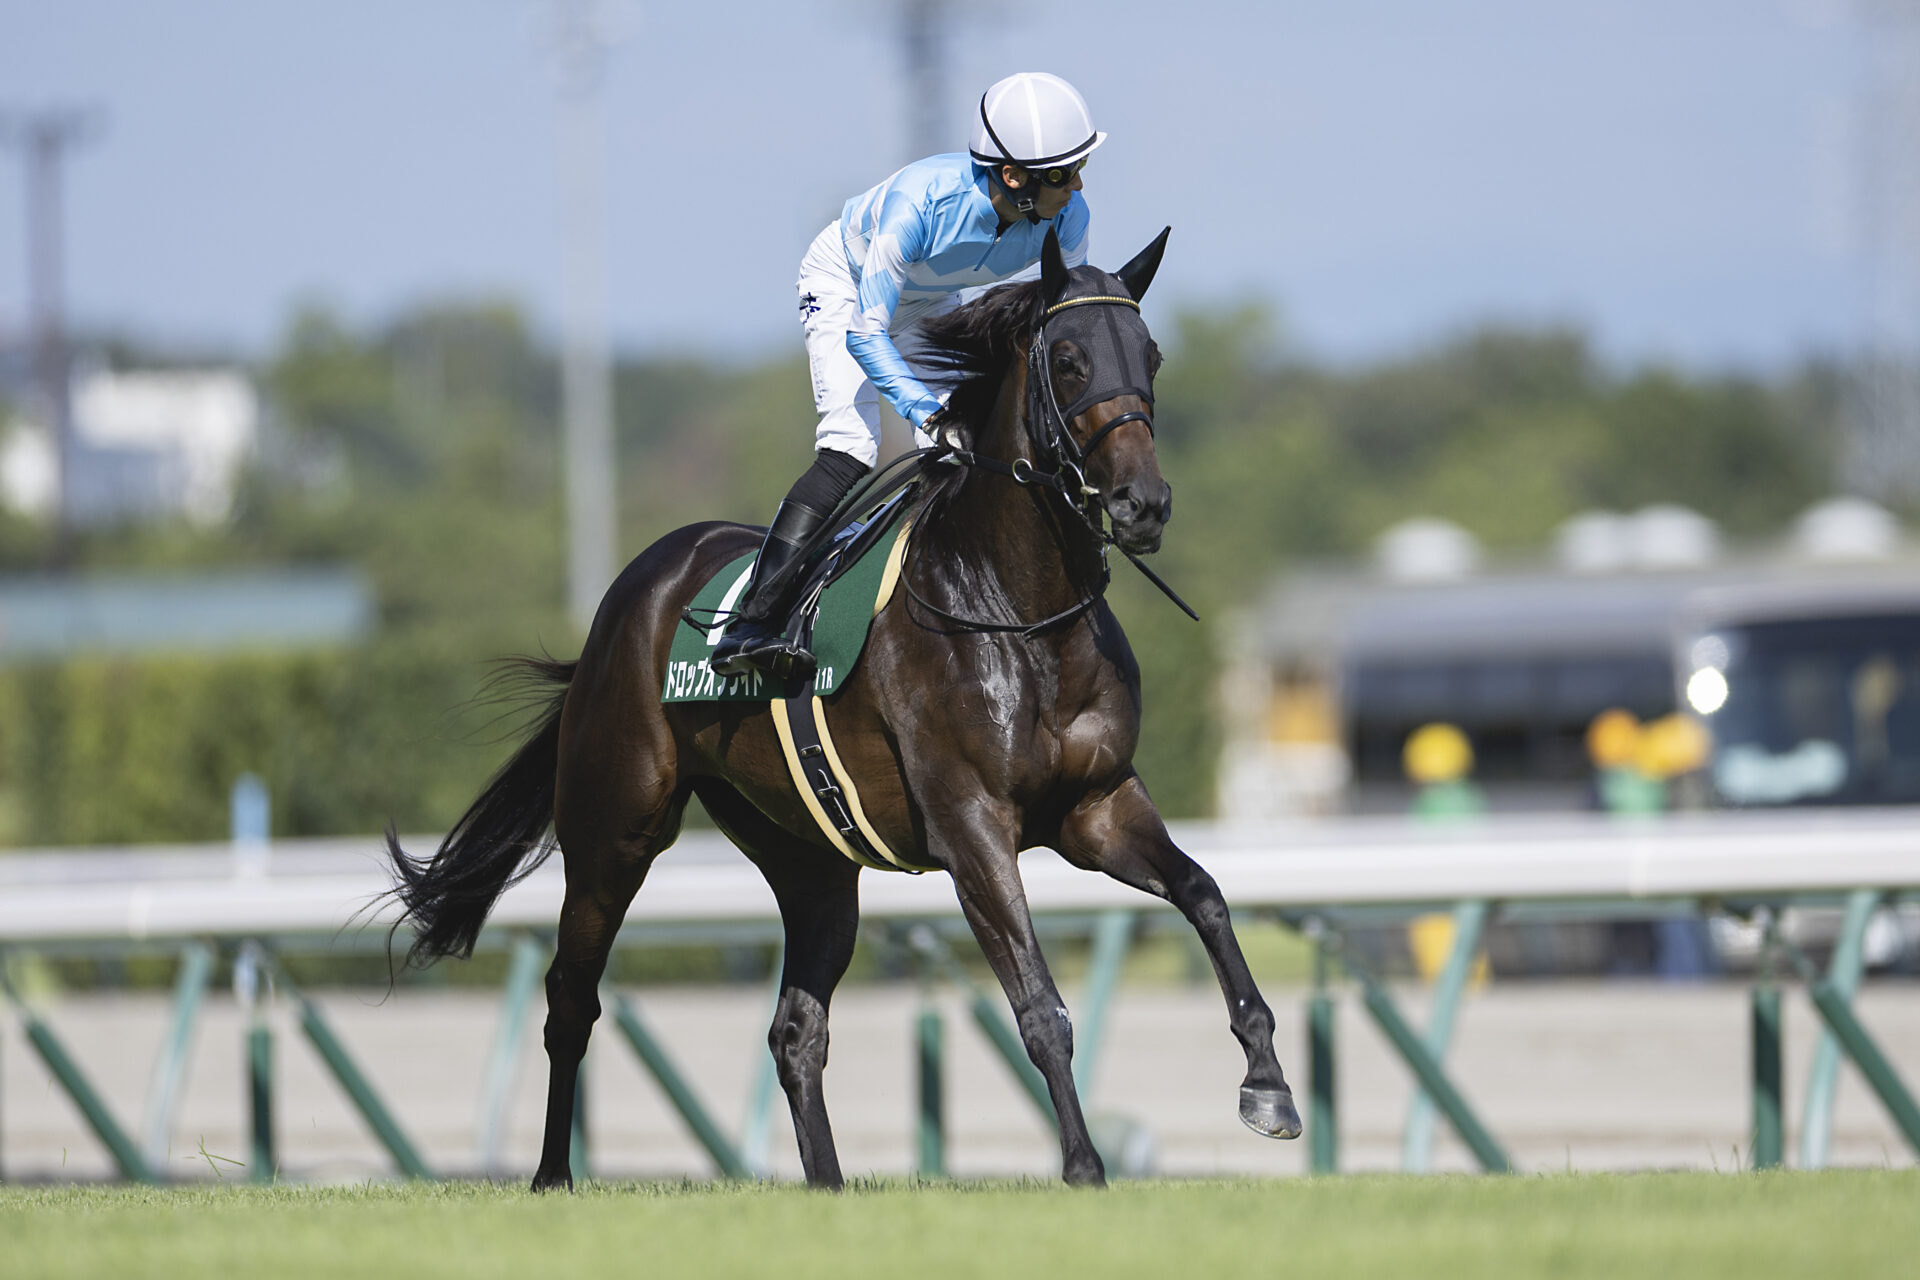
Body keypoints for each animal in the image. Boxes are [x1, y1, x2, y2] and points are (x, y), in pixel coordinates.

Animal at [384, 228, 1301, 1190]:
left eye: (1150, 355)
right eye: (1070, 360)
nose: (1142, 503)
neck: (1016, 610)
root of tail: (632, 590)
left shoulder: (1097, 805)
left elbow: (1205, 895)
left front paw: (1268, 1084)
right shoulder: (972, 826)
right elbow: (1039, 1004)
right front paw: (1085, 1165)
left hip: (809, 860)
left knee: (796, 1031)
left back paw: (826, 1185)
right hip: (614, 827)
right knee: (571, 997)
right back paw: (551, 1176)